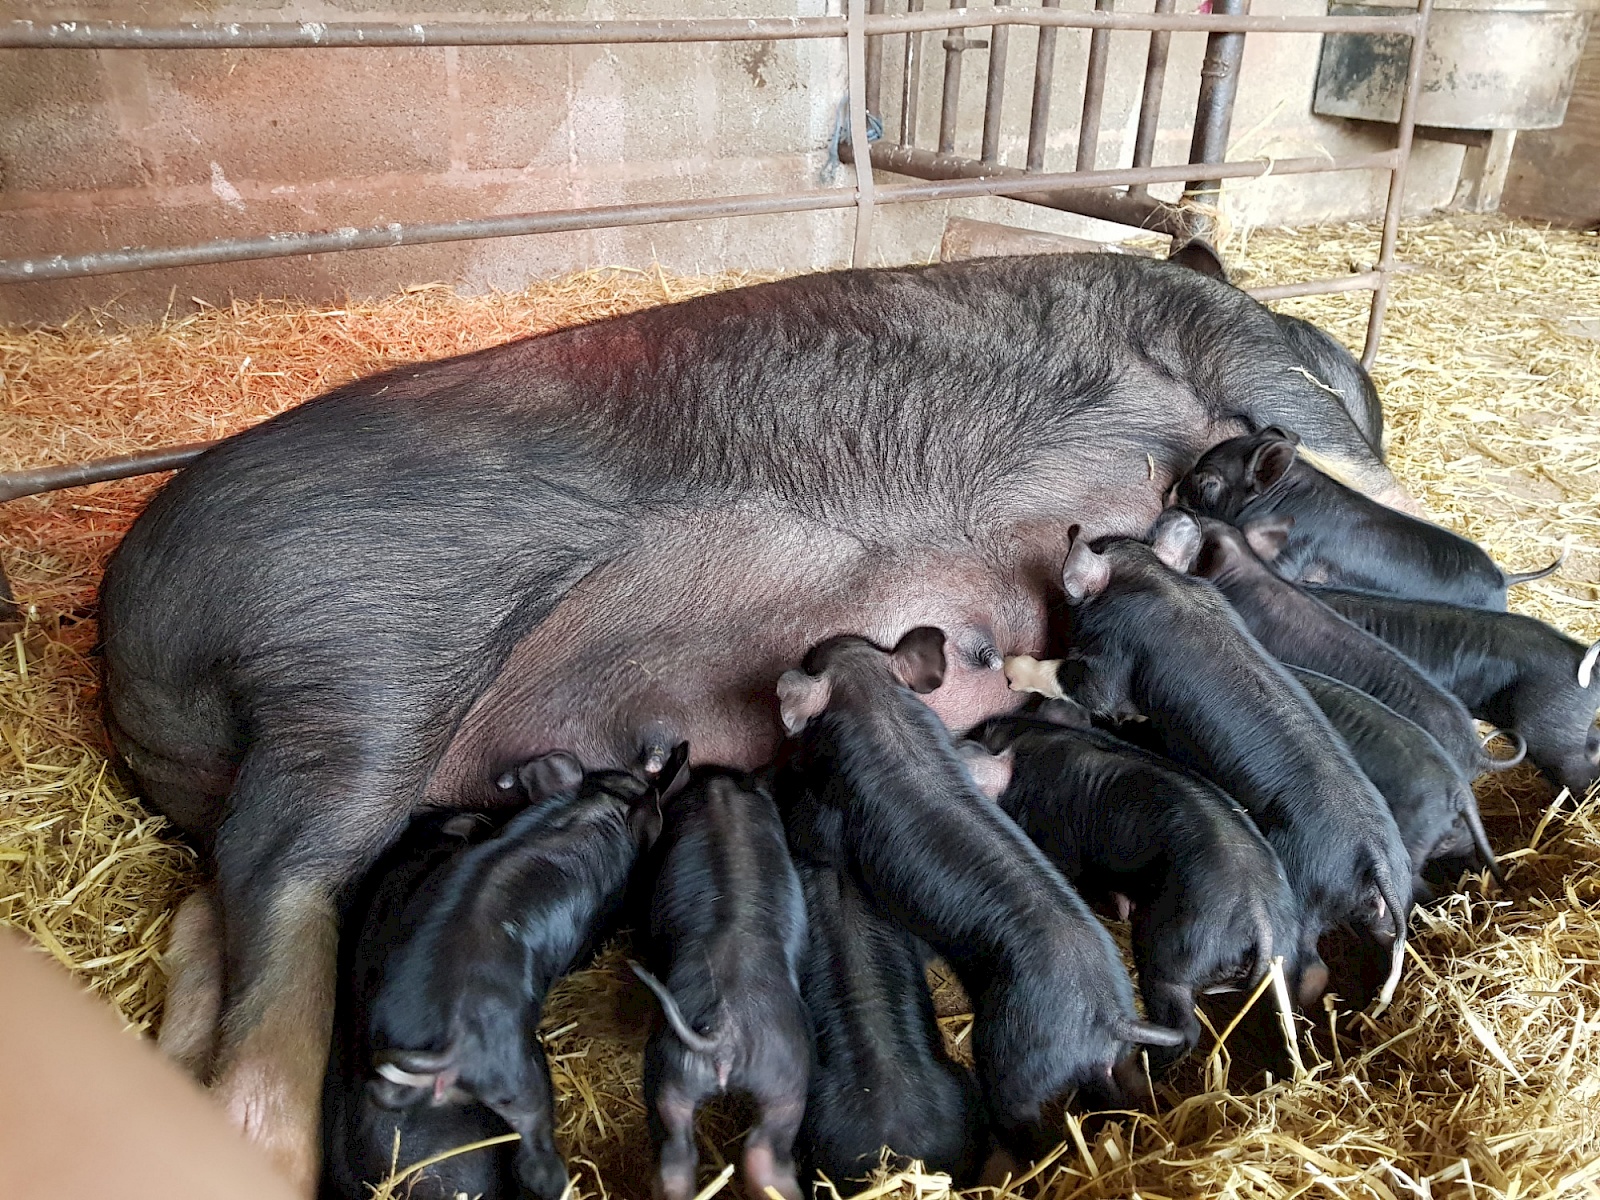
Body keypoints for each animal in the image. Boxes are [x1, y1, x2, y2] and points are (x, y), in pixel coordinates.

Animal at [633, 768, 811, 1200]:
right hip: (786, 1080)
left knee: (679, 1155)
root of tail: (726, 1031)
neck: (723, 794)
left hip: (674, 1076)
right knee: (761, 1153)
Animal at [1009, 524, 1413, 1012]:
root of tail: (1374, 855)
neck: (1155, 582)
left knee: (1310, 968)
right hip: (1378, 909)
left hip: (1304, 884)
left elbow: (1085, 686)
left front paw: (1012, 667)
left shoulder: (1110, 660)